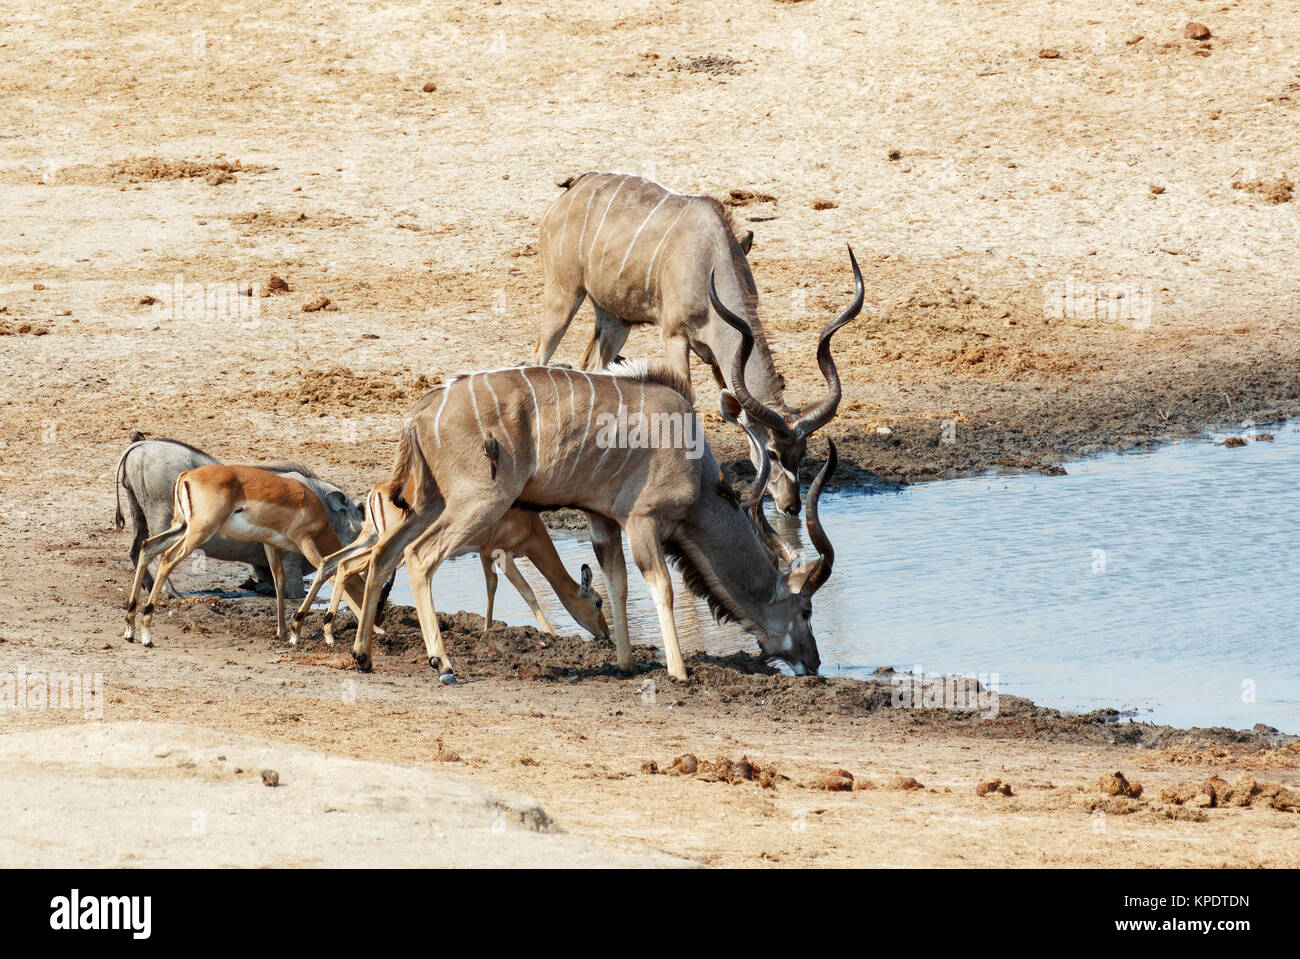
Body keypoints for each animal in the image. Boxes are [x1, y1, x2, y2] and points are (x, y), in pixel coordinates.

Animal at [122, 465, 369, 649]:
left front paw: (281, 632)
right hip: (198, 533)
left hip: (181, 528)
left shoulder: (271, 545)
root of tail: (186, 476)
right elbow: (329, 571)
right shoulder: (305, 542)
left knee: (148, 547)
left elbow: (279, 582)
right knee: (167, 559)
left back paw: (130, 629)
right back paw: (147, 635)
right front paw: (302, 633)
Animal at [288, 478, 609, 646]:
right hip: (387, 548)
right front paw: (551, 633)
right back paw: (334, 632)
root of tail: (377, 490)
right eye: (598, 601)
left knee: (333, 563)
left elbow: (490, 588)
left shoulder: (484, 552)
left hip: (369, 539)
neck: (527, 521)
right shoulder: (502, 552)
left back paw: (304, 630)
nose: (606, 635)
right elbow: (527, 591)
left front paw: (487, 629)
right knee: (349, 569)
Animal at [345, 299, 847, 683]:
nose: (814, 662)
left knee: (384, 554)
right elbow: (660, 586)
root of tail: (419, 411)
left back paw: (363, 655)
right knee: (419, 557)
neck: (698, 470)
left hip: (429, 504)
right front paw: (678, 672)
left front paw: (625, 664)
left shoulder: (602, 520)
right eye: (805, 612)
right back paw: (442, 664)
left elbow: (617, 582)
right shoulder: (642, 520)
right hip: (477, 504)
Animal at [531, 171, 863, 514]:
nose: (791, 507)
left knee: (592, 365)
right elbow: (687, 395)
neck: (709, 258)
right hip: (564, 295)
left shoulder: (722, 358)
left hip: (615, 319)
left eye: (803, 453)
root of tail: (572, 190)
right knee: (540, 355)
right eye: (772, 452)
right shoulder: (675, 336)